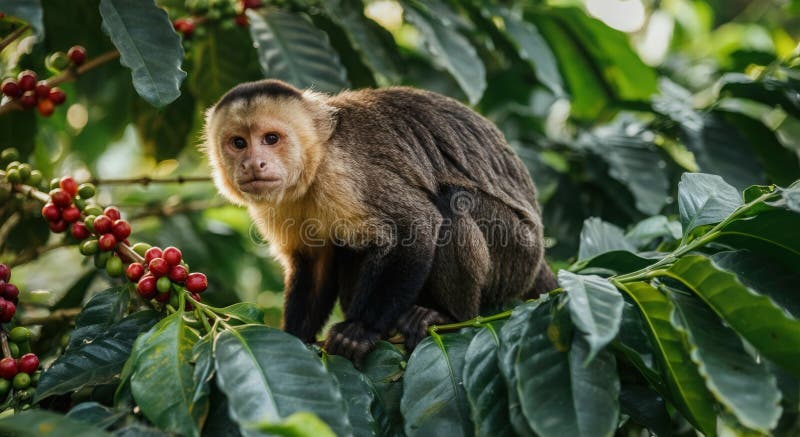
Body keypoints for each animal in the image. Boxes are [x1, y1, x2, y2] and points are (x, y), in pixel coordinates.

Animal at [202, 79, 557, 363]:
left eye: (271, 139)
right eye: (238, 143)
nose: (253, 164)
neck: (314, 165)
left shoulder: (345, 173)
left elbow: (417, 226)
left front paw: (359, 330)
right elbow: (314, 263)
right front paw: (295, 341)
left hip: (516, 256)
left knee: (451, 206)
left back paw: (447, 316)